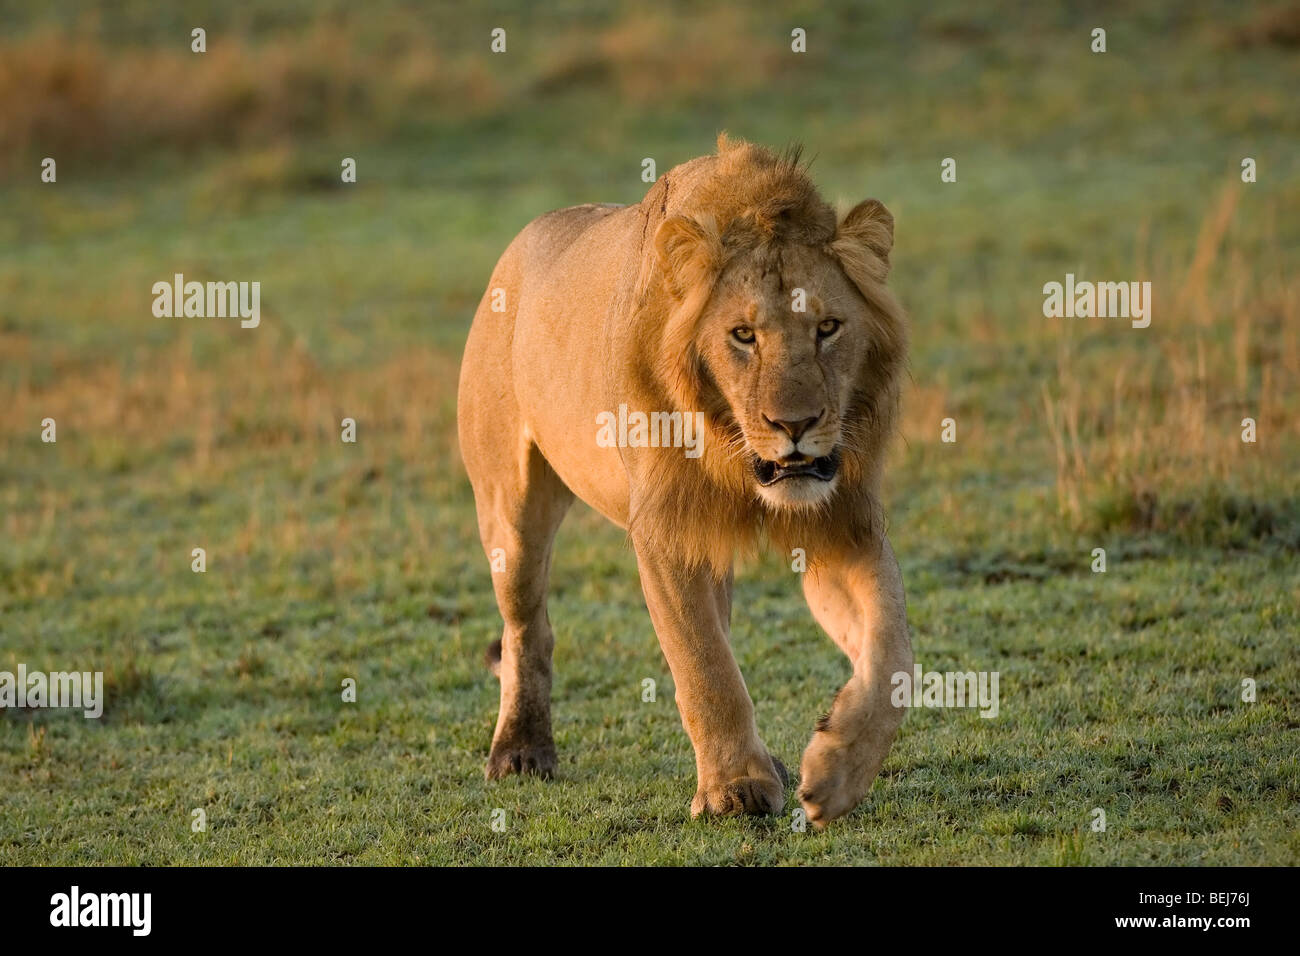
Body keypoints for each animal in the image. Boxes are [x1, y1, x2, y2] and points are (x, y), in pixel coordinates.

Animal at [457, 134, 912, 828]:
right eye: (743, 335)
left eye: (828, 328)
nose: (795, 425)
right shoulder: (667, 530)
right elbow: (705, 666)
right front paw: (734, 790)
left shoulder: (841, 521)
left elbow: (892, 654)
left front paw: (835, 773)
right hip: (510, 513)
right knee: (527, 629)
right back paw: (520, 752)